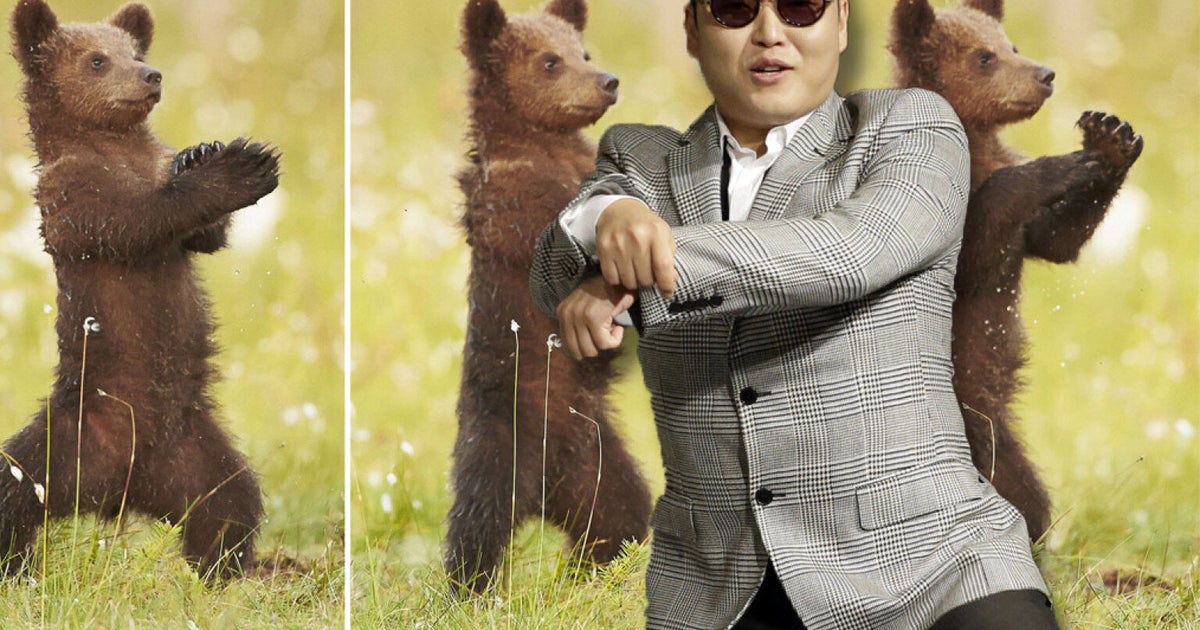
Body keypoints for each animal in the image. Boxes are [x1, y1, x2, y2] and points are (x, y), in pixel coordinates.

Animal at [1, 0, 280, 581]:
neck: (112, 146)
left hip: (195, 452)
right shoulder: (72, 198)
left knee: (230, 503)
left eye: (133, 51)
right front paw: (239, 166)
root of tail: (121, 491)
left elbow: (204, 238)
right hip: (66, 439)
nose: (151, 76)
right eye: (97, 59)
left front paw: (200, 152)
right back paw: (17, 566)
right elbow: (137, 221)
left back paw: (221, 572)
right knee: (11, 489)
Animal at [446, 0, 652, 594]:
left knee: (623, 511)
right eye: (549, 61)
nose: (607, 81)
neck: (542, 144)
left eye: (583, 50)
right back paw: (469, 589)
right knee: (479, 518)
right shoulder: (514, 207)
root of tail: (545, 492)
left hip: (598, 457)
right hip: (499, 435)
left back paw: (592, 568)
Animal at [888, 0, 1143, 542]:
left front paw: (1109, 139)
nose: (1044, 75)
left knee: (1025, 493)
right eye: (984, 57)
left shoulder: (1026, 230)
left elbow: (1056, 240)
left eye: (1012, 45)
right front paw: (1058, 163)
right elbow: (970, 256)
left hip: (995, 435)